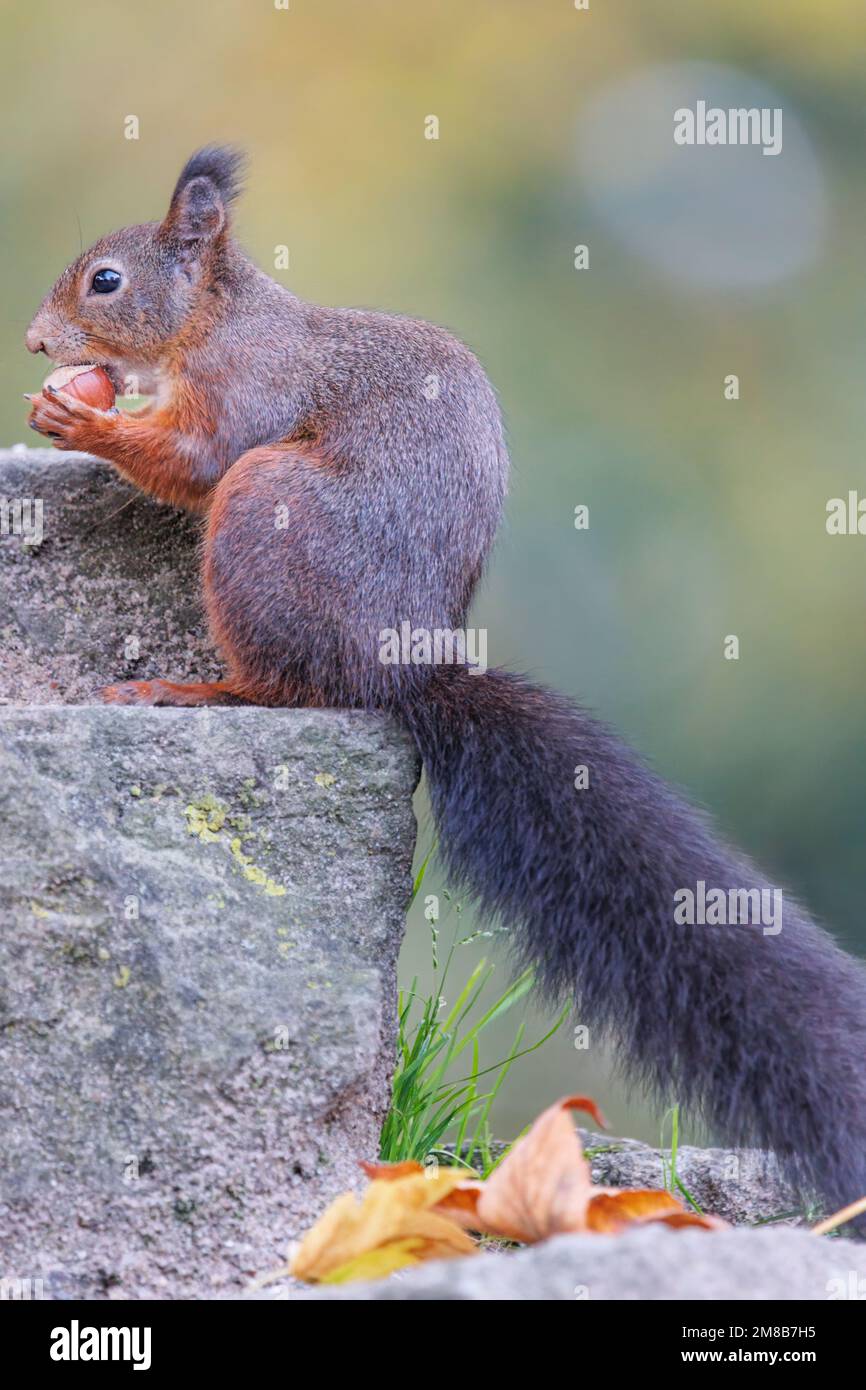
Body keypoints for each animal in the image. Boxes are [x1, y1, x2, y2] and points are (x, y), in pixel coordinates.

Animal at [26, 146, 866, 1223]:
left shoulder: (246, 389)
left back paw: (200, 692)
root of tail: (404, 665)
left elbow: (194, 457)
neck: (215, 318)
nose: (37, 341)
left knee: (292, 683)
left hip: (267, 510)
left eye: (107, 281)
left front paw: (78, 416)